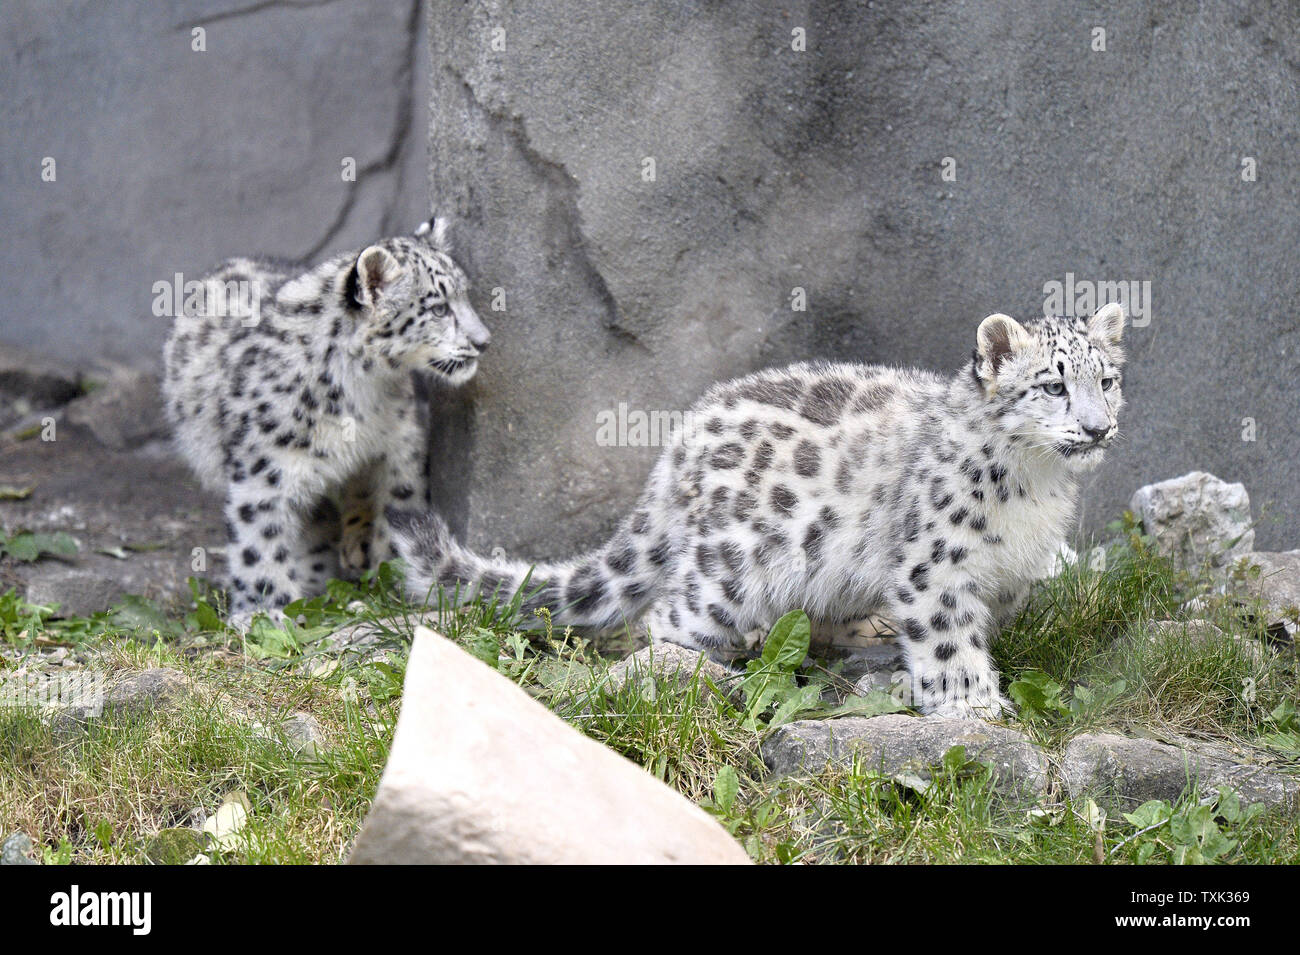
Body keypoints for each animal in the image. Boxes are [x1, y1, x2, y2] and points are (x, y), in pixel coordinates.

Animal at [163, 216, 490, 628]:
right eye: (438, 309)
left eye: (465, 297)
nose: (484, 341)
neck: (361, 389)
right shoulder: (265, 468)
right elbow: (260, 539)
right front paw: (267, 610)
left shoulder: (401, 444)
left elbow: (400, 502)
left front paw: (393, 574)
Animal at [390, 303, 1125, 717]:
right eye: (1053, 385)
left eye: (1108, 379)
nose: (1098, 428)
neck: (1037, 487)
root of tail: (685, 435)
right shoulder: (935, 564)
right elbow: (947, 634)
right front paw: (973, 703)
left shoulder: (1011, 572)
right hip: (731, 568)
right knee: (667, 615)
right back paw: (696, 667)